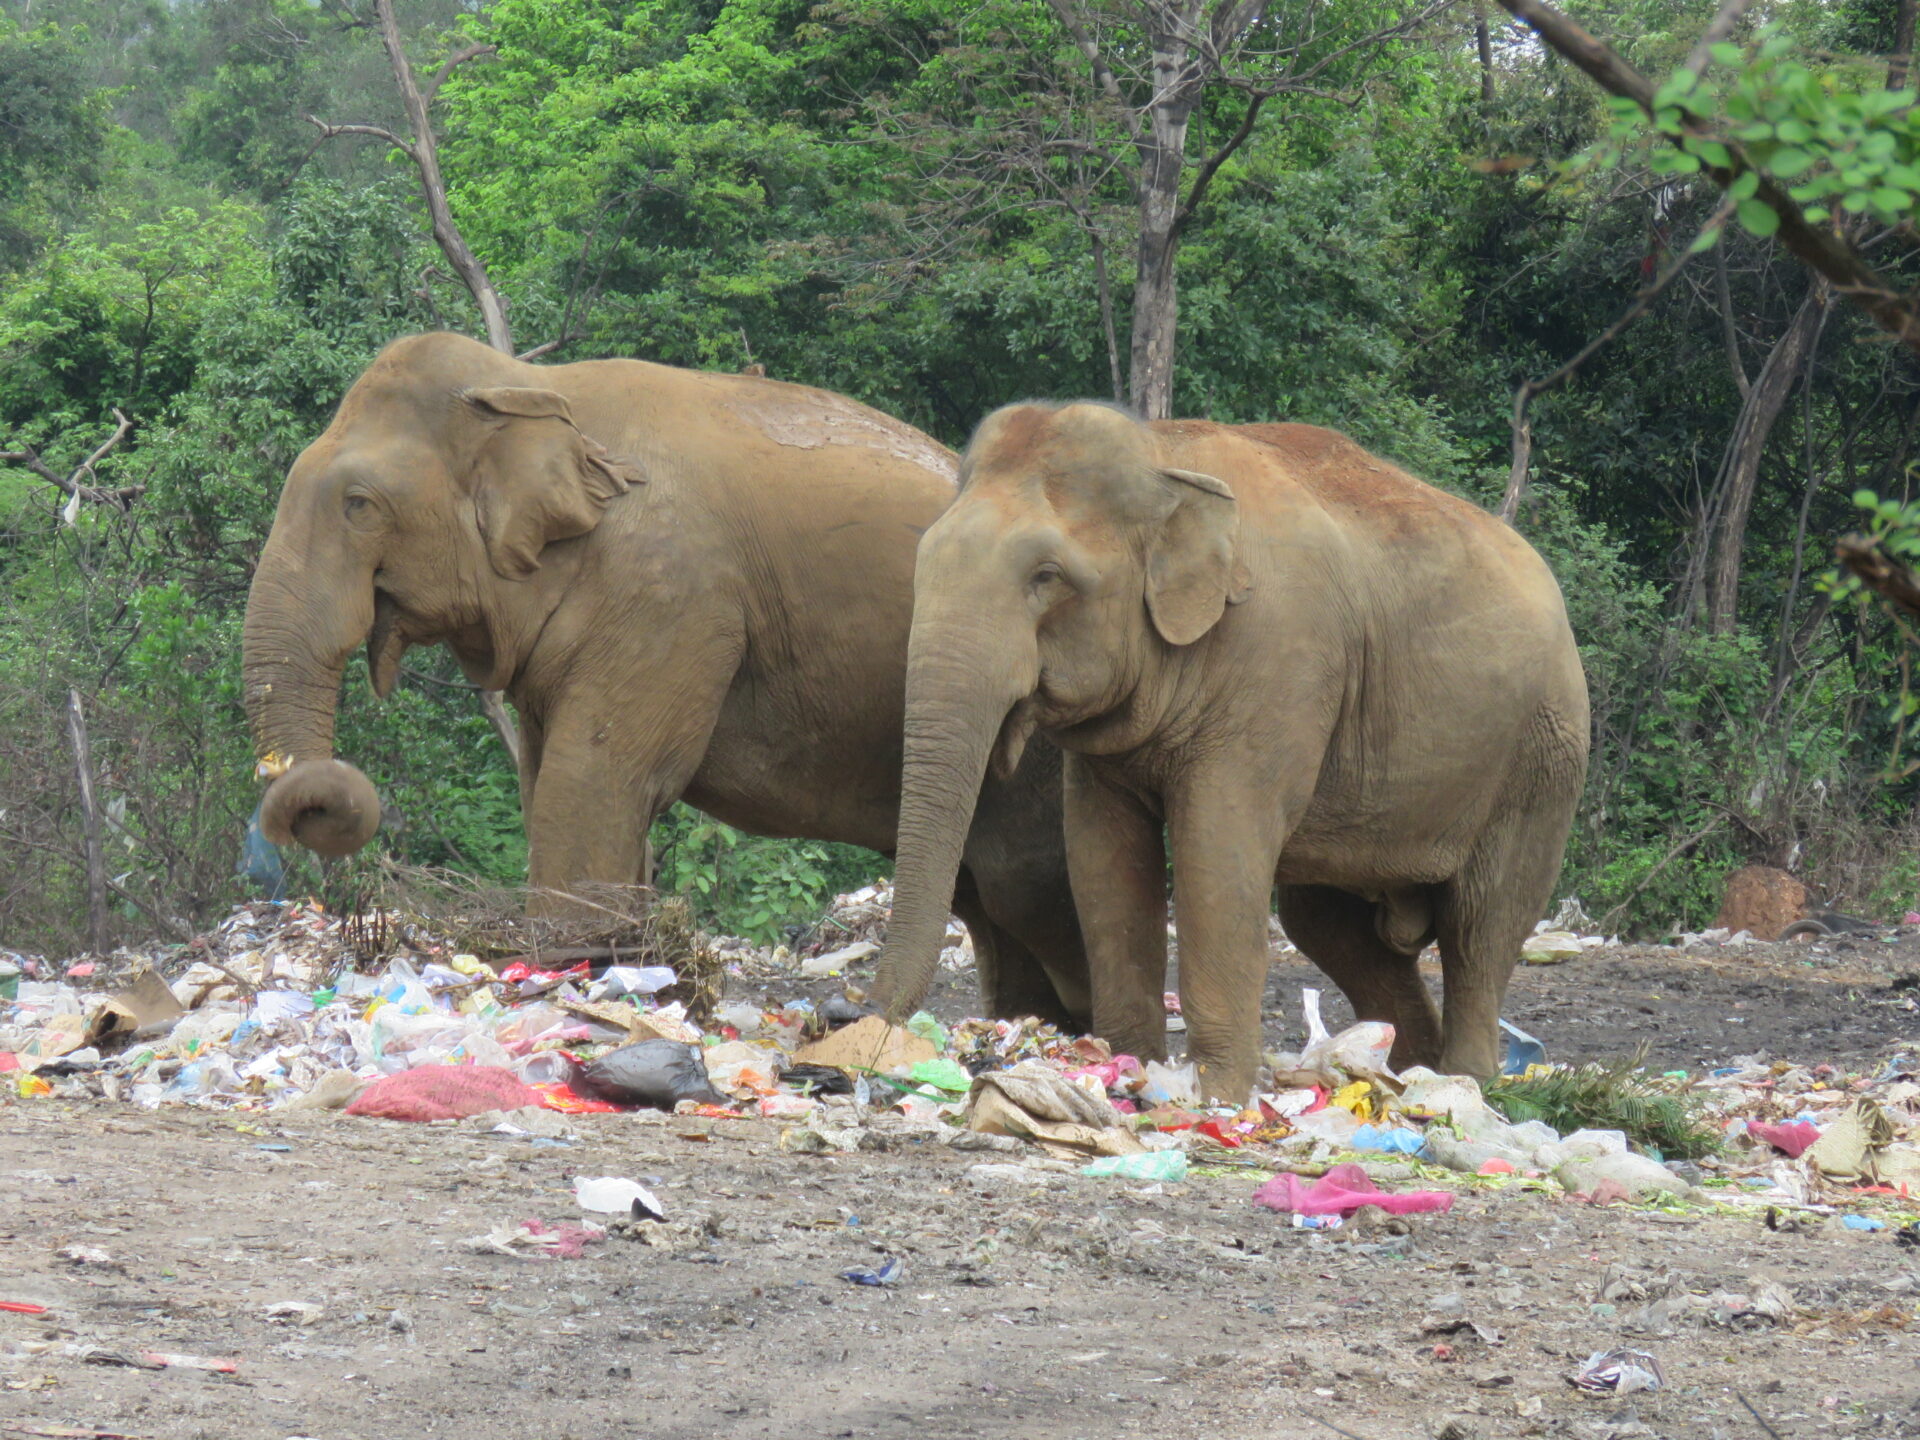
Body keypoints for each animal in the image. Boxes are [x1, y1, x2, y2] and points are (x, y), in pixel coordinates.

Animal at [240, 331, 1090, 1027]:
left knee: (1030, 887)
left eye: (359, 505)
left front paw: (576, 983)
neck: (534, 388)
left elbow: (593, 781)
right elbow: (550, 780)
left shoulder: (671, 593)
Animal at [867, 401, 1589, 1102]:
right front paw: (1133, 1068)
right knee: (1333, 928)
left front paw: (1209, 1095)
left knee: (1480, 924)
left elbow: (1217, 849)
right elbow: (1103, 856)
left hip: (1541, 759)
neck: (1165, 455)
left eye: (1047, 576)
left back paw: (1464, 1082)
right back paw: (1402, 1074)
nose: (862, 1030)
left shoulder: (1278, 665)